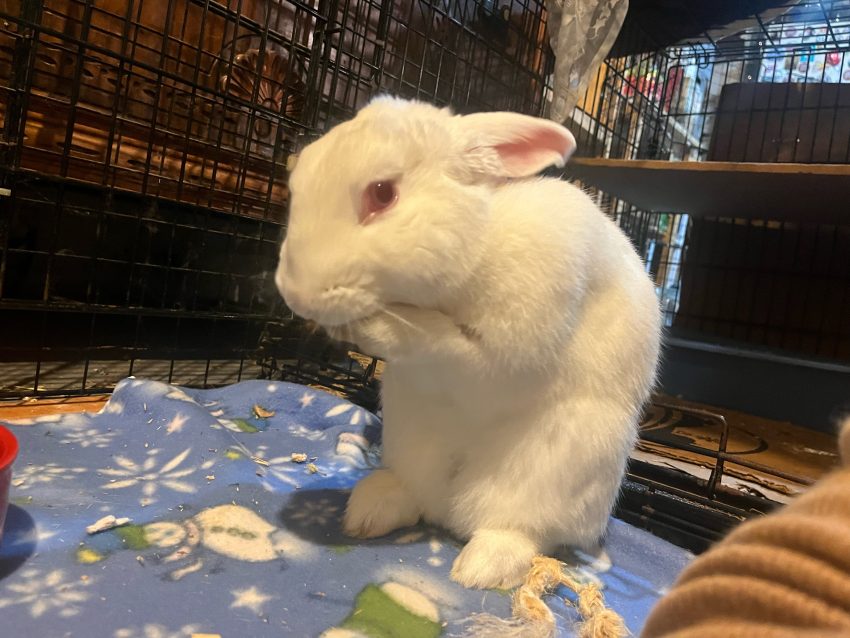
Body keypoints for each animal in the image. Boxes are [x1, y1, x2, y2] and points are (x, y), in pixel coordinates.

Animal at [275, 96, 662, 590]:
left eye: (382, 193)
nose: (295, 295)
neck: (478, 244)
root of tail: (448, 511)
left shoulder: (504, 350)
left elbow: (441, 341)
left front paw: (366, 327)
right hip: (409, 441)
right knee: (413, 497)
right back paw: (366, 513)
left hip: (552, 482)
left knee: (520, 530)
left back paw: (478, 570)